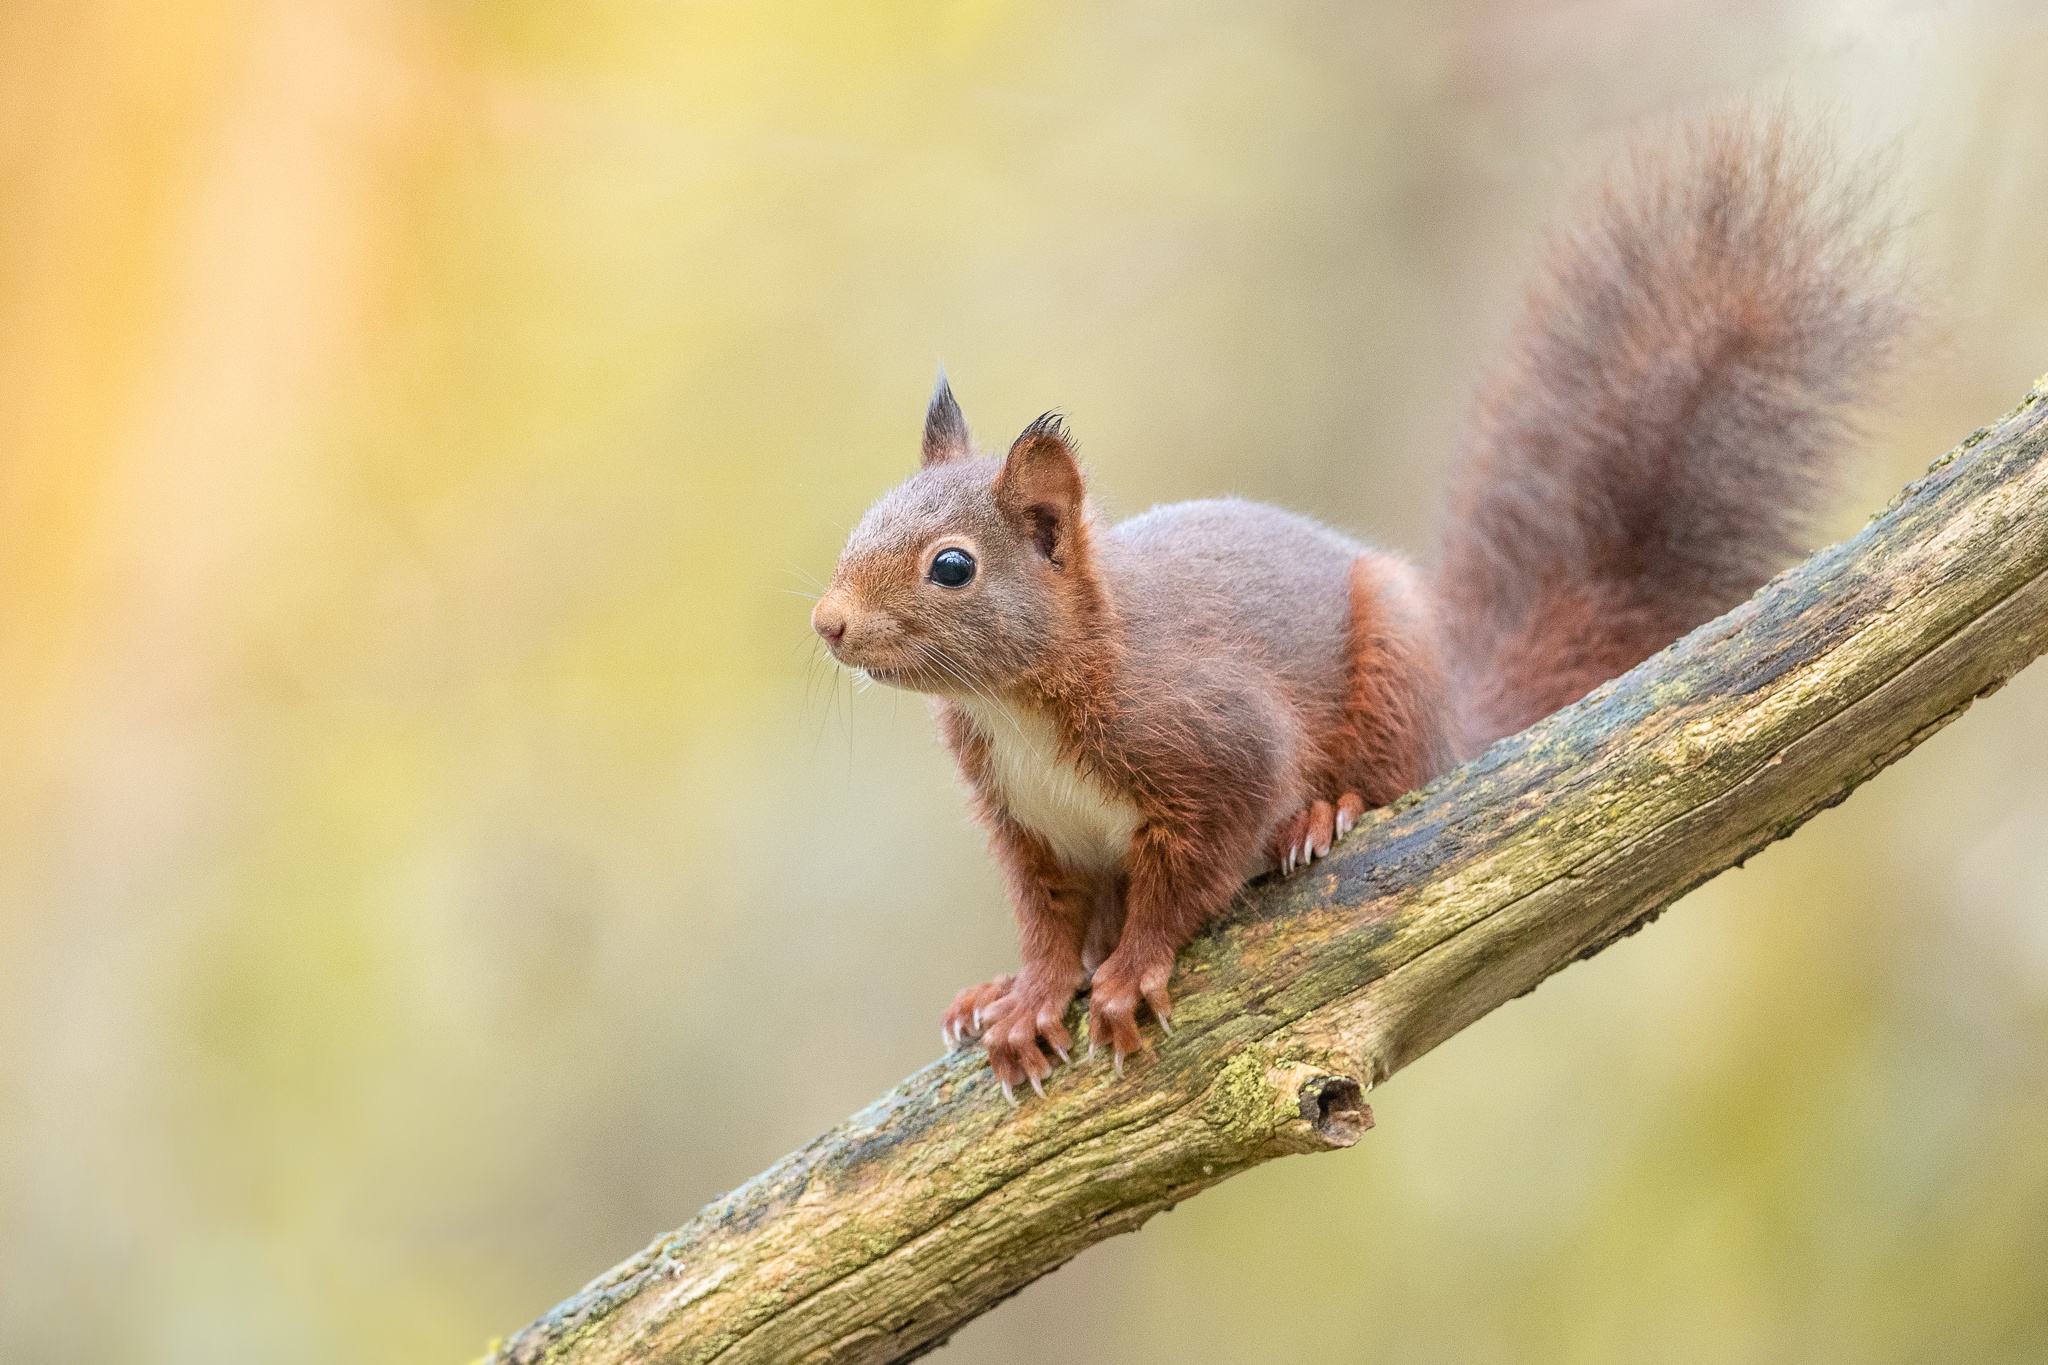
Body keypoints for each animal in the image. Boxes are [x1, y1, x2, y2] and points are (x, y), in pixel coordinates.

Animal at [811, 112, 1912, 1102]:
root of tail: (1460, 714)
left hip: (1391, 669)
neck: (1020, 703)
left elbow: (1189, 876)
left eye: (952, 567)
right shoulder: (1027, 824)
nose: (827, 624)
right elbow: (1049, 921)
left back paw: (1325, 813)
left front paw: (1127, 975)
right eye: (864, 517)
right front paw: (1028, 996)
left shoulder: (1214, 744)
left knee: (1395, 777)